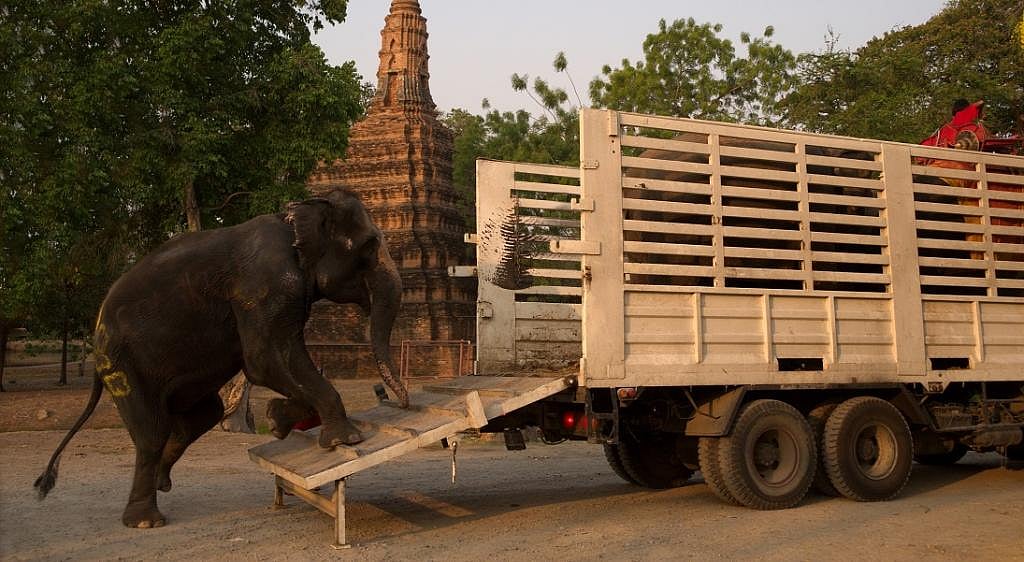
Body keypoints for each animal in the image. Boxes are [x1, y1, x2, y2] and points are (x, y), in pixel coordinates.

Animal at [33, 190, 408, 529]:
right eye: (370, 246)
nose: (401, 402)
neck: (297, 214)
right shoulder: (268, 286)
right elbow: (264, 360)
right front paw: (347, 439)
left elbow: (276, 363)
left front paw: (276, 421)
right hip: (122, 365)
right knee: (152, 432)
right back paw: (145, 521)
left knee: (202, 415)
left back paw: (162, 481)